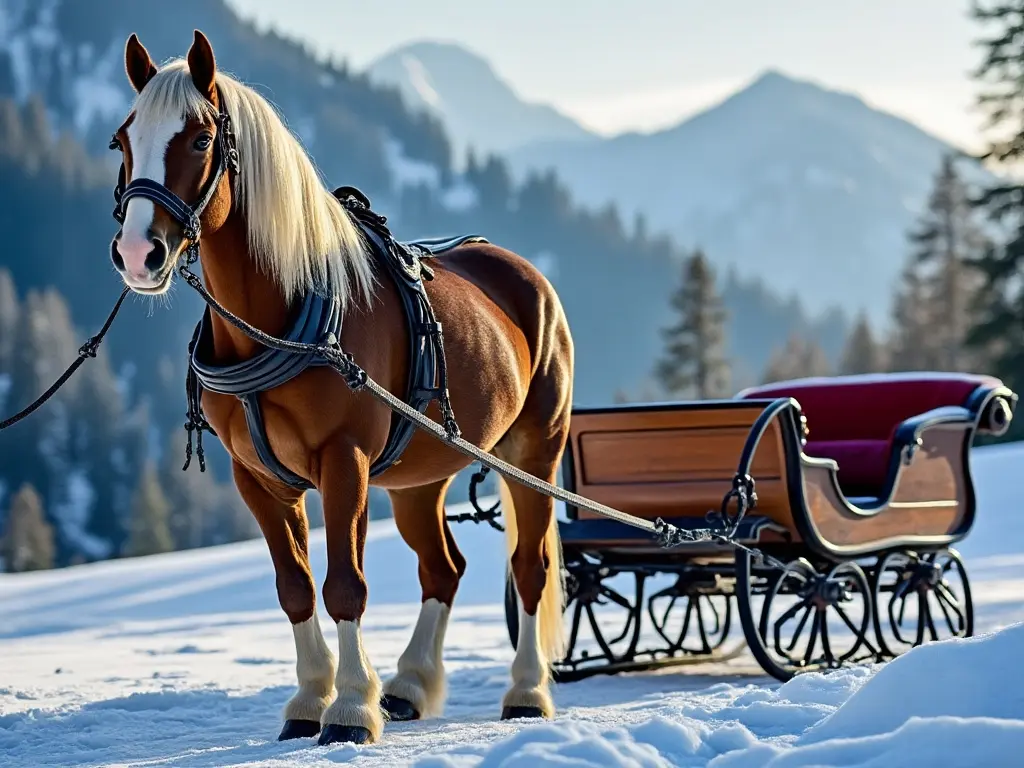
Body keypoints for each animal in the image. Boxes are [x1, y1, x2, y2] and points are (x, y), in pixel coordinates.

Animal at [108, 30, 573, 746]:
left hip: (534, 455)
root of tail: (525, 274)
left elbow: (345, 586)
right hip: (418, 479)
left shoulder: (343, 461)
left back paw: (525, 690)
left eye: (200, 139)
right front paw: (309, 700)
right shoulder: (258, 477)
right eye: (123, 140)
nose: (138, 253)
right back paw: (410, 684)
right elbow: (295, 586)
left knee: (528, 569)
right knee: (443, 569)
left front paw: (351, 706)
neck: (280, 321)